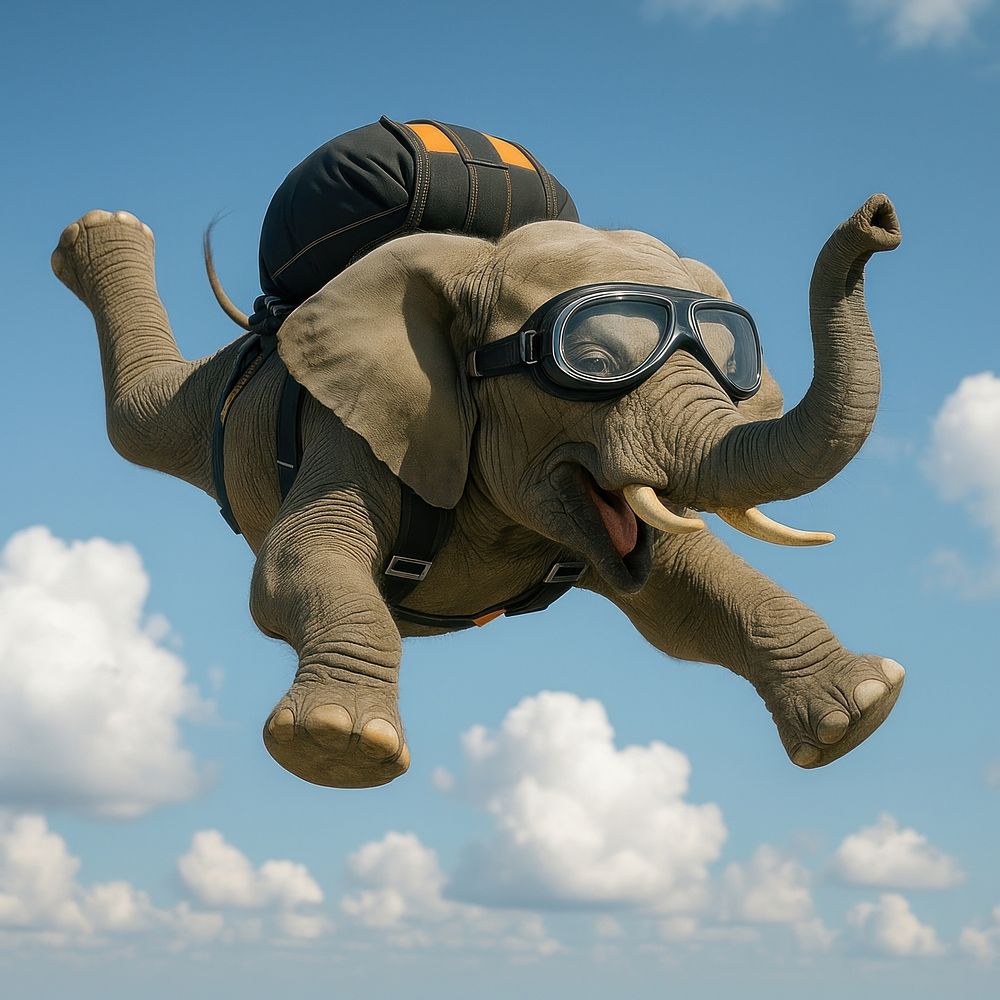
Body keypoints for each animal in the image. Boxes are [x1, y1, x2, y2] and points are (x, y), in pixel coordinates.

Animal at [50, 193, 905, 789]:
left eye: (733, 362)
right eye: (595, 361)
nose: (881, 220)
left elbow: (685, 594)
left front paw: (865, 709)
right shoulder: (356, 420)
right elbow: (295, 562)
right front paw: (340, 745)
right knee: (145, 418)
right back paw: (104, 231)